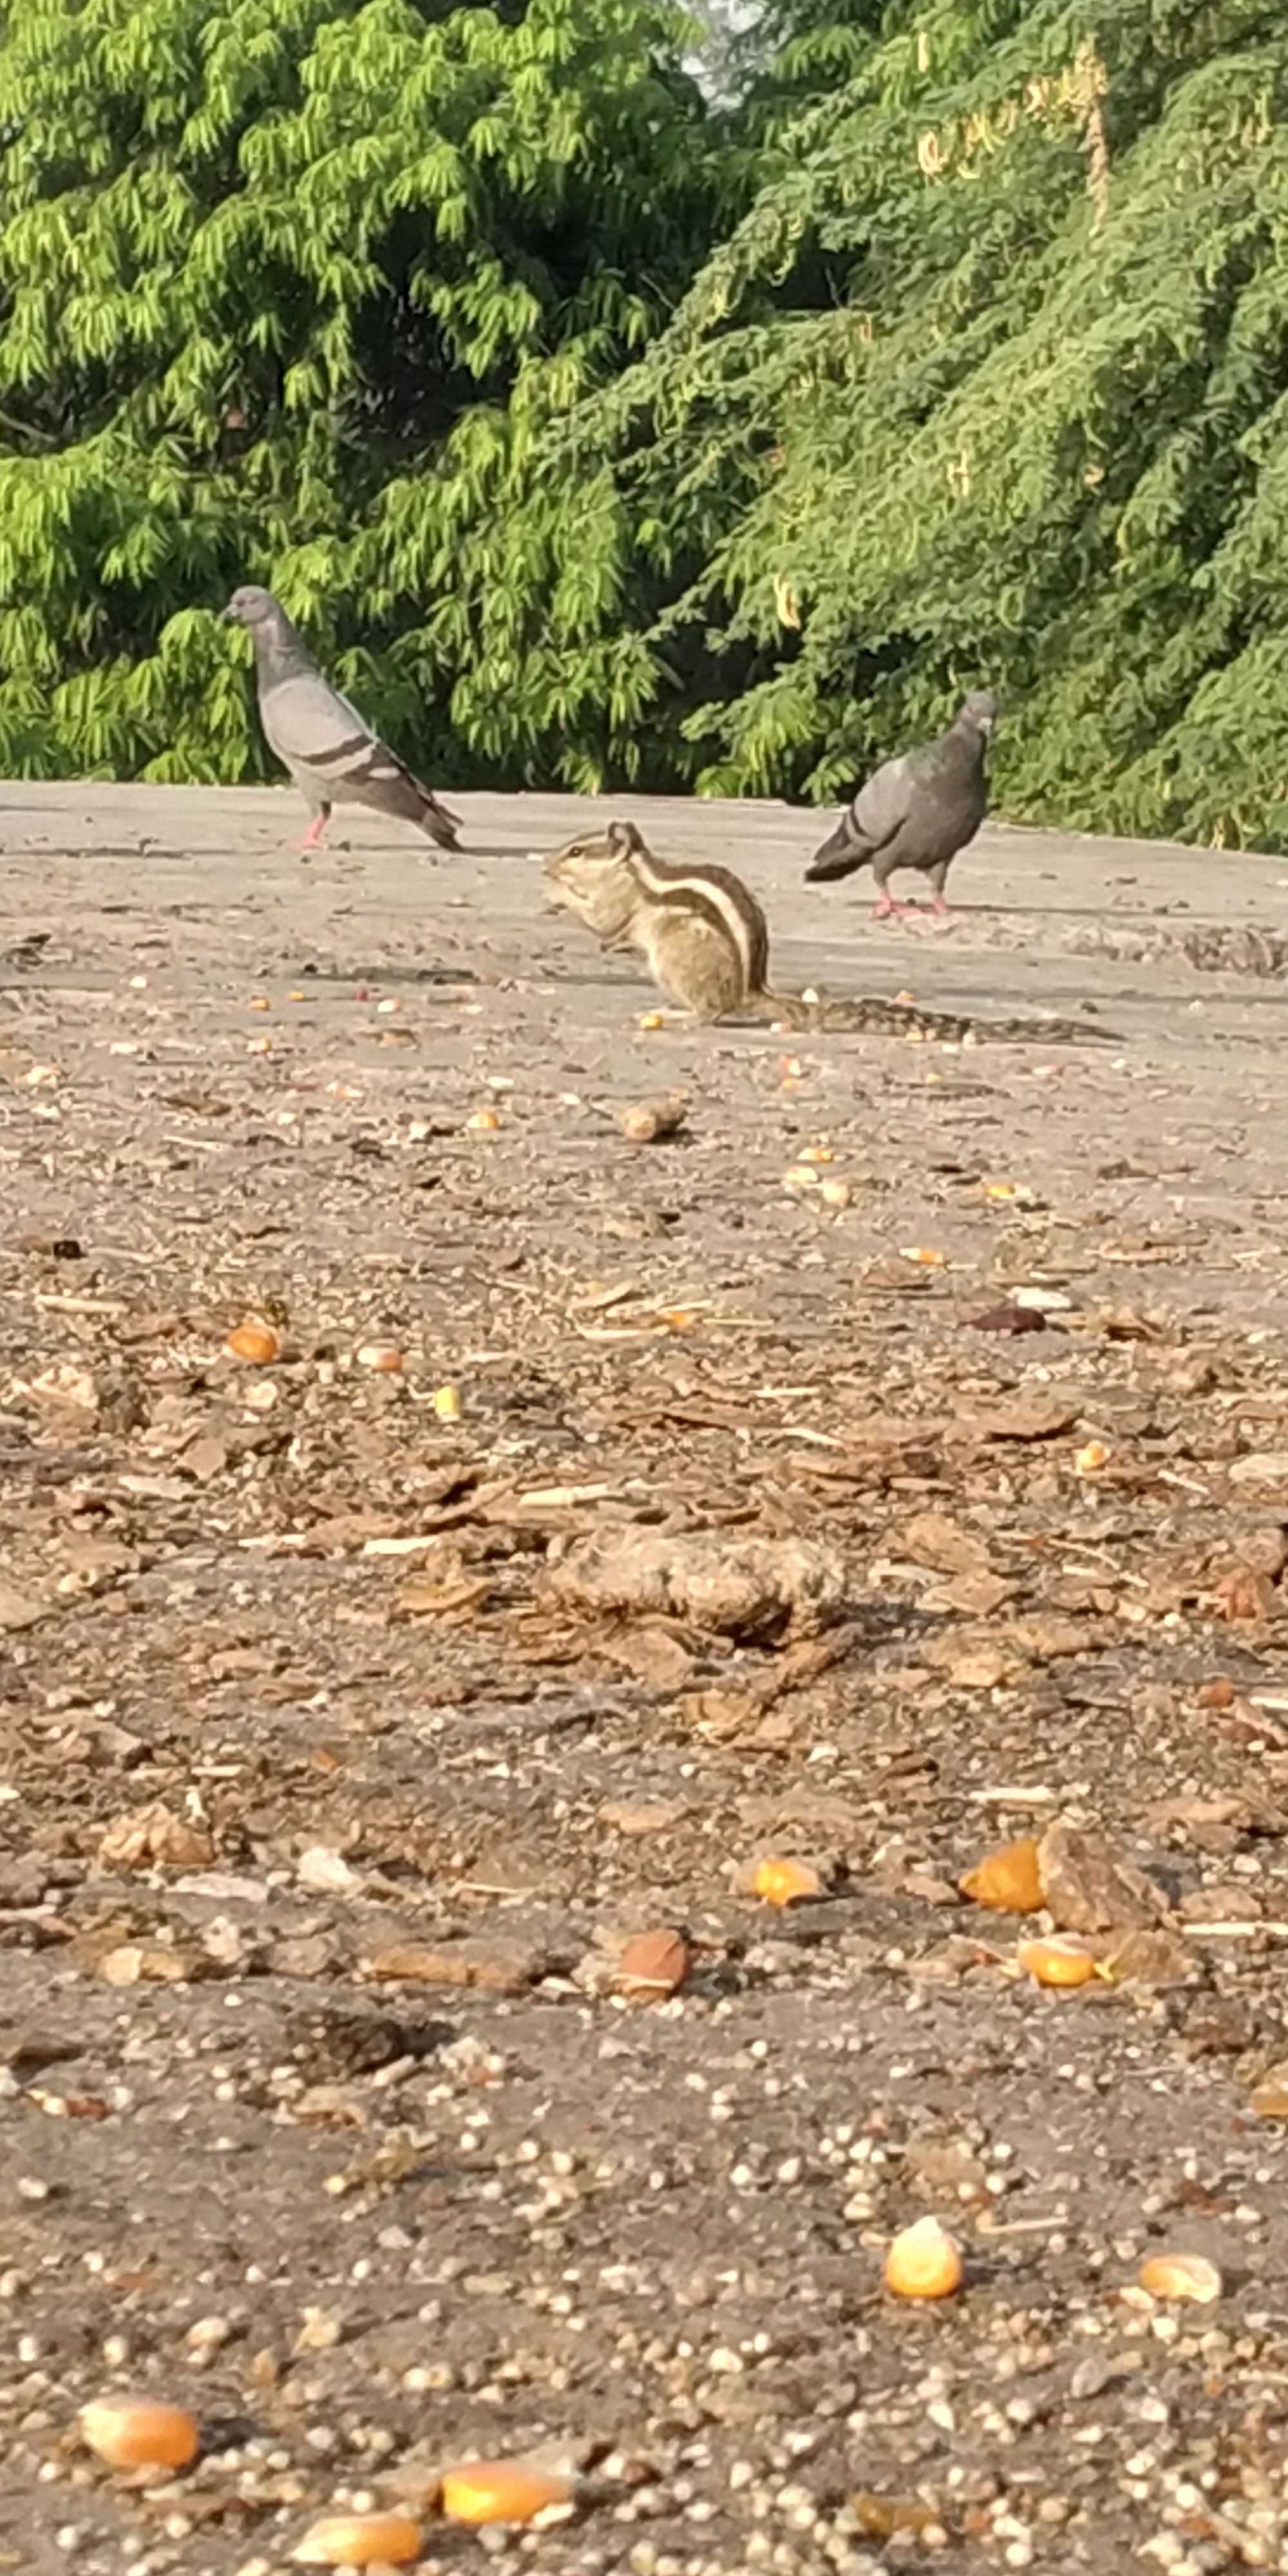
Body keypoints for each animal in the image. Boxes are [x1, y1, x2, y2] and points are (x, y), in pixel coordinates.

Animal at [540, 820, 1116, 1045]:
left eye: (577, 850)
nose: (548, 864)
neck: (635, 870)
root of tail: (753, 990)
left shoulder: (621, 903)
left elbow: (602, 918)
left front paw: (556, 892)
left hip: (680, 962)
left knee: (714, 1012)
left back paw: (682, 1015)